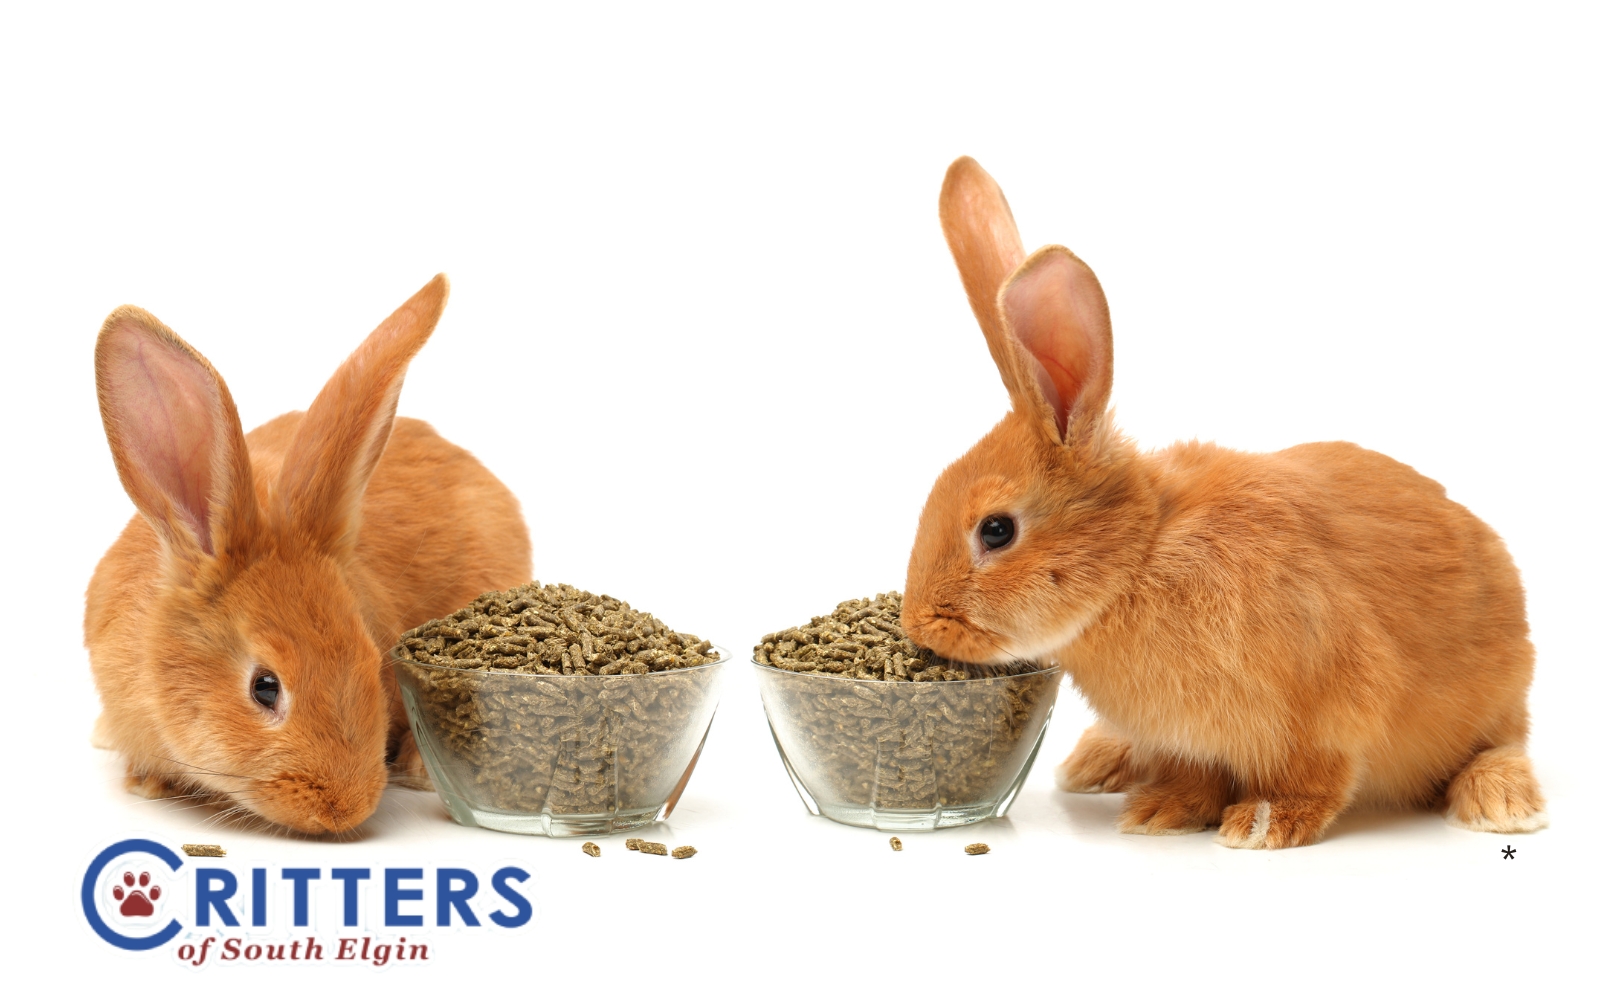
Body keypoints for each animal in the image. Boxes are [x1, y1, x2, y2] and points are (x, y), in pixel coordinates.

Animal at [901, 157, 1546, 848]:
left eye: (996, 530)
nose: (918, 626)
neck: (1139, 558)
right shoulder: (1189, 742)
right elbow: (1194, 777)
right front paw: (1162, 813)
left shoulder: (1326, 709)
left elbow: (1313, 779)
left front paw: (1262, 824)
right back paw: (1096, 763)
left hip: (1495, 702)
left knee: (1499, 745)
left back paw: (1503, 804)